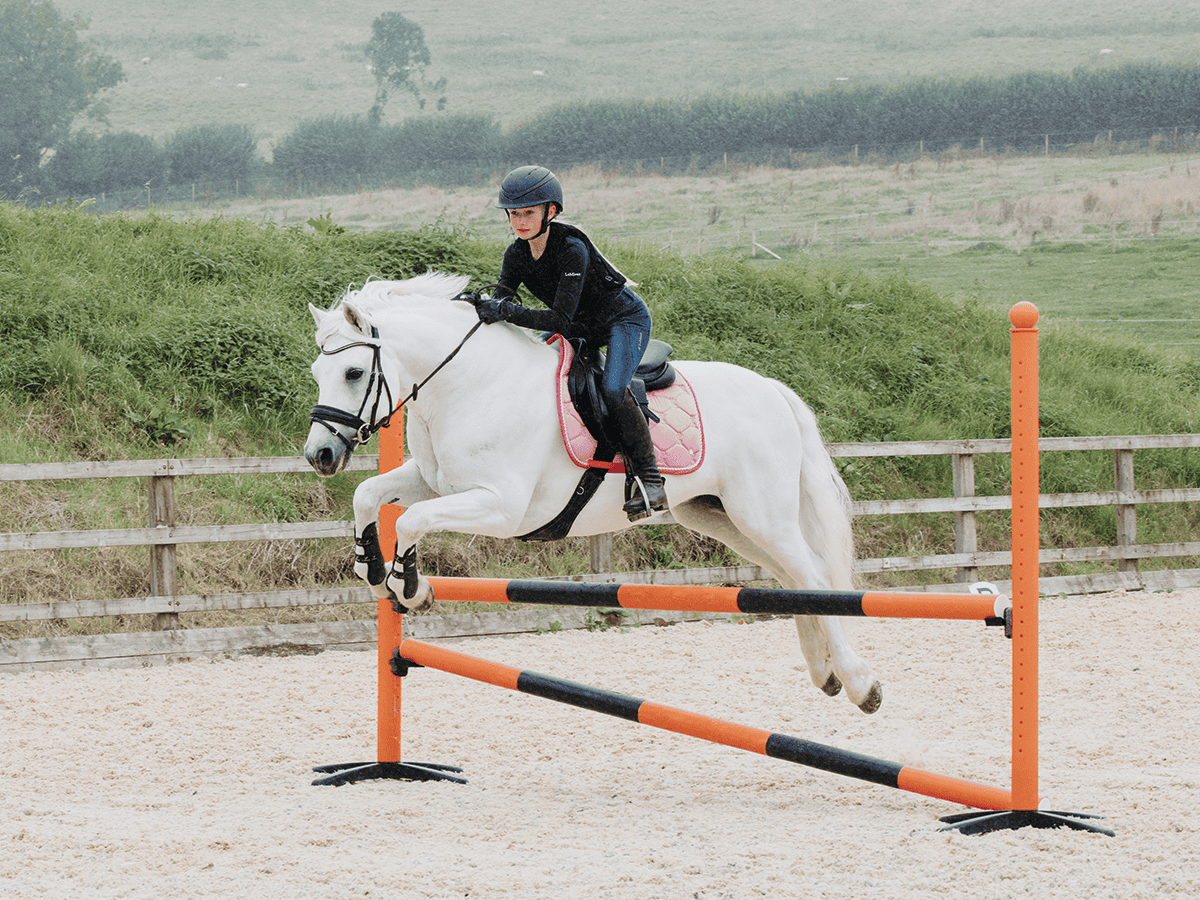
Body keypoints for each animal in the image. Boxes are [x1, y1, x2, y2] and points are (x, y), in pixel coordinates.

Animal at [303, 272, 882, 714]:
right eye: (317, 372)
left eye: (353, 372)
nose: (319, 456)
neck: (470, 383)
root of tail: (772, 389)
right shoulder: (430, 479)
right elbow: (369, 496)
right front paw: (373, 568)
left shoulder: (502, 506)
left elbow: (410, 520)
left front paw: (410, 586)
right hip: (719, 515)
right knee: (792, 578)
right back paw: (824, 671)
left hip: (761, 513)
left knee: (811, 575)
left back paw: (860, 683)